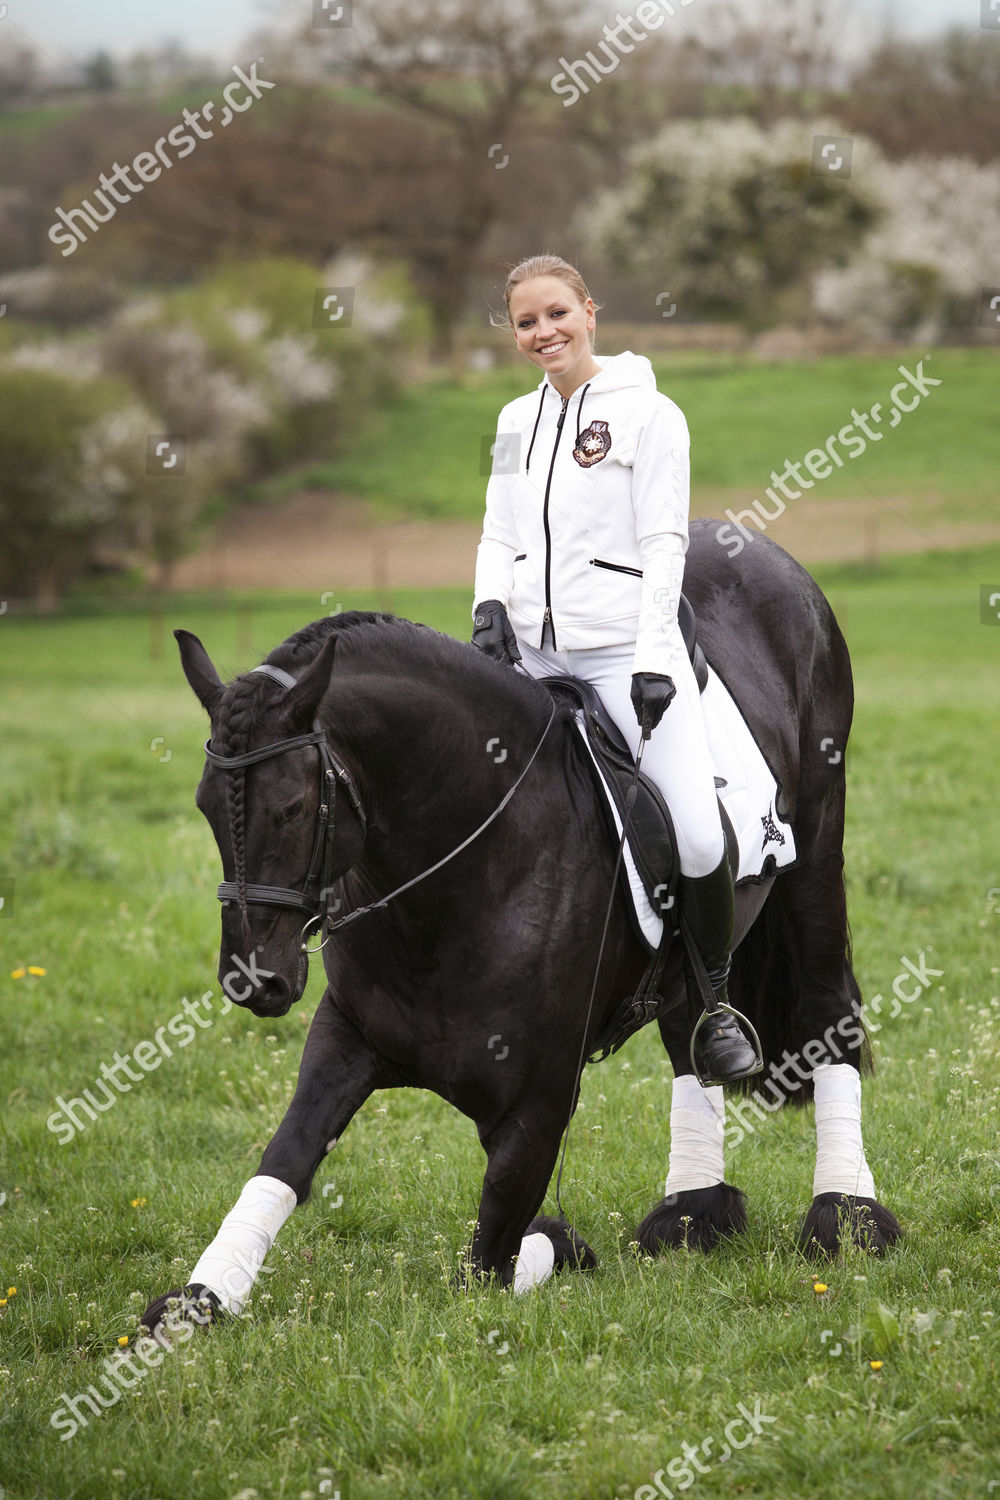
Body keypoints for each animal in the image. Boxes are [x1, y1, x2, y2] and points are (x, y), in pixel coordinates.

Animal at [141, 521, 900, 1331]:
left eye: (289, 808)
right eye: (204, 805)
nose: (254, 980)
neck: (453, 883)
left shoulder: (537, 1101)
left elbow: (489, 1268)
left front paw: (563, 1250)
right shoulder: (347, 1036)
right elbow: (287, 1156)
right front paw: (198, 1300)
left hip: (817, 846)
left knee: (826, 1010)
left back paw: (847, 1217)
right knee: (690, 1033)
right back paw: (694, 1213)